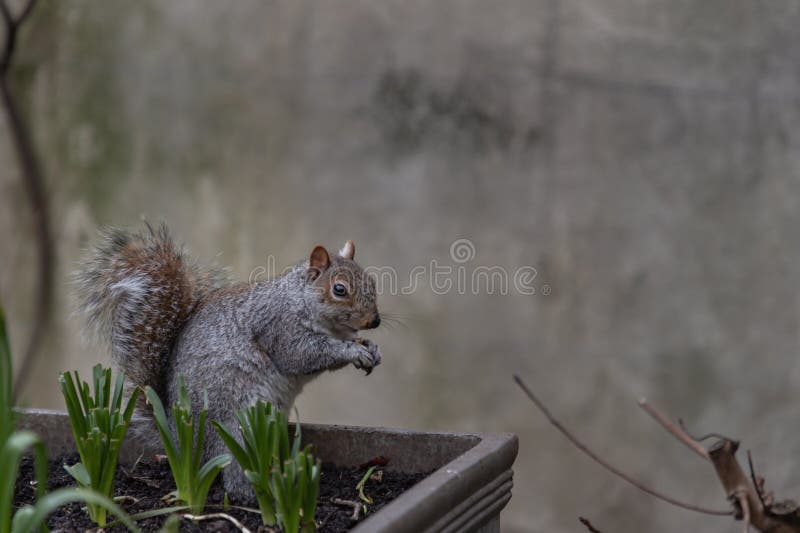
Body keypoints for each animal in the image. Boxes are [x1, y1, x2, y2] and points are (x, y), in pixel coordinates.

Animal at [75, 224, 381, 498]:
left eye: (373, 282)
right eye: (339, 290)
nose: (374, 321)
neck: (301, 300)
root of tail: (177, 437)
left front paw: (370, 348)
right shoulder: (281, 328)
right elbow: (303, 355)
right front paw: (352, 351)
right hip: (234, 425)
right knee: (235, 471)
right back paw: (258, 493)